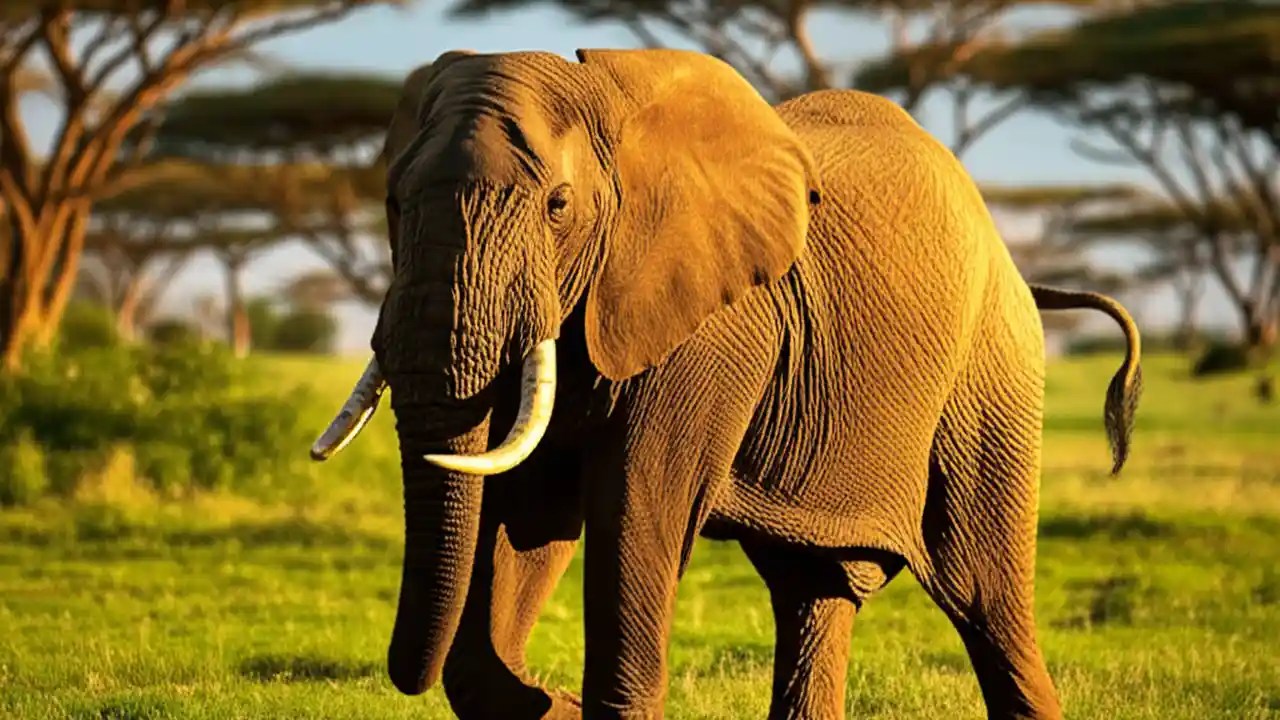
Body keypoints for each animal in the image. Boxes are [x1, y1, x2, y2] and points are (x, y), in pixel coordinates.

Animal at [309, 48, 1143, 720]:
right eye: (390, 203)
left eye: (557, 206)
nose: (557, 693)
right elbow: (530, 509)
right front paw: (554, 705)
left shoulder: (711, 329)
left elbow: (634, 508)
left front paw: (576, 702)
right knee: (813, 590)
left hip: (988, 382)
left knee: (985, 599)